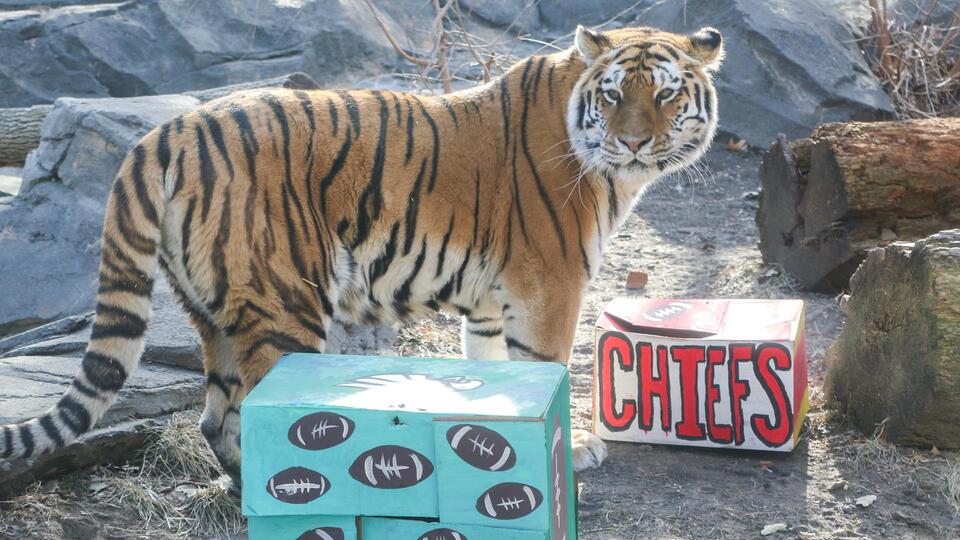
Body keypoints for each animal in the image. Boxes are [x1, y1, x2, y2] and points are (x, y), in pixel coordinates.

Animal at [0, 24, 723, 487]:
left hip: (212, 308)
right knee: (262, 414)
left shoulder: (493, 303)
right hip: (284, 306)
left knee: (216, 419)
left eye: (665, 94)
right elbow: (543, 369)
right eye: (614, 94)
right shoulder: (549, 283)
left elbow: (495, 373)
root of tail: (168, 129)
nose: (633, 143)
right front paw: (569, 449)